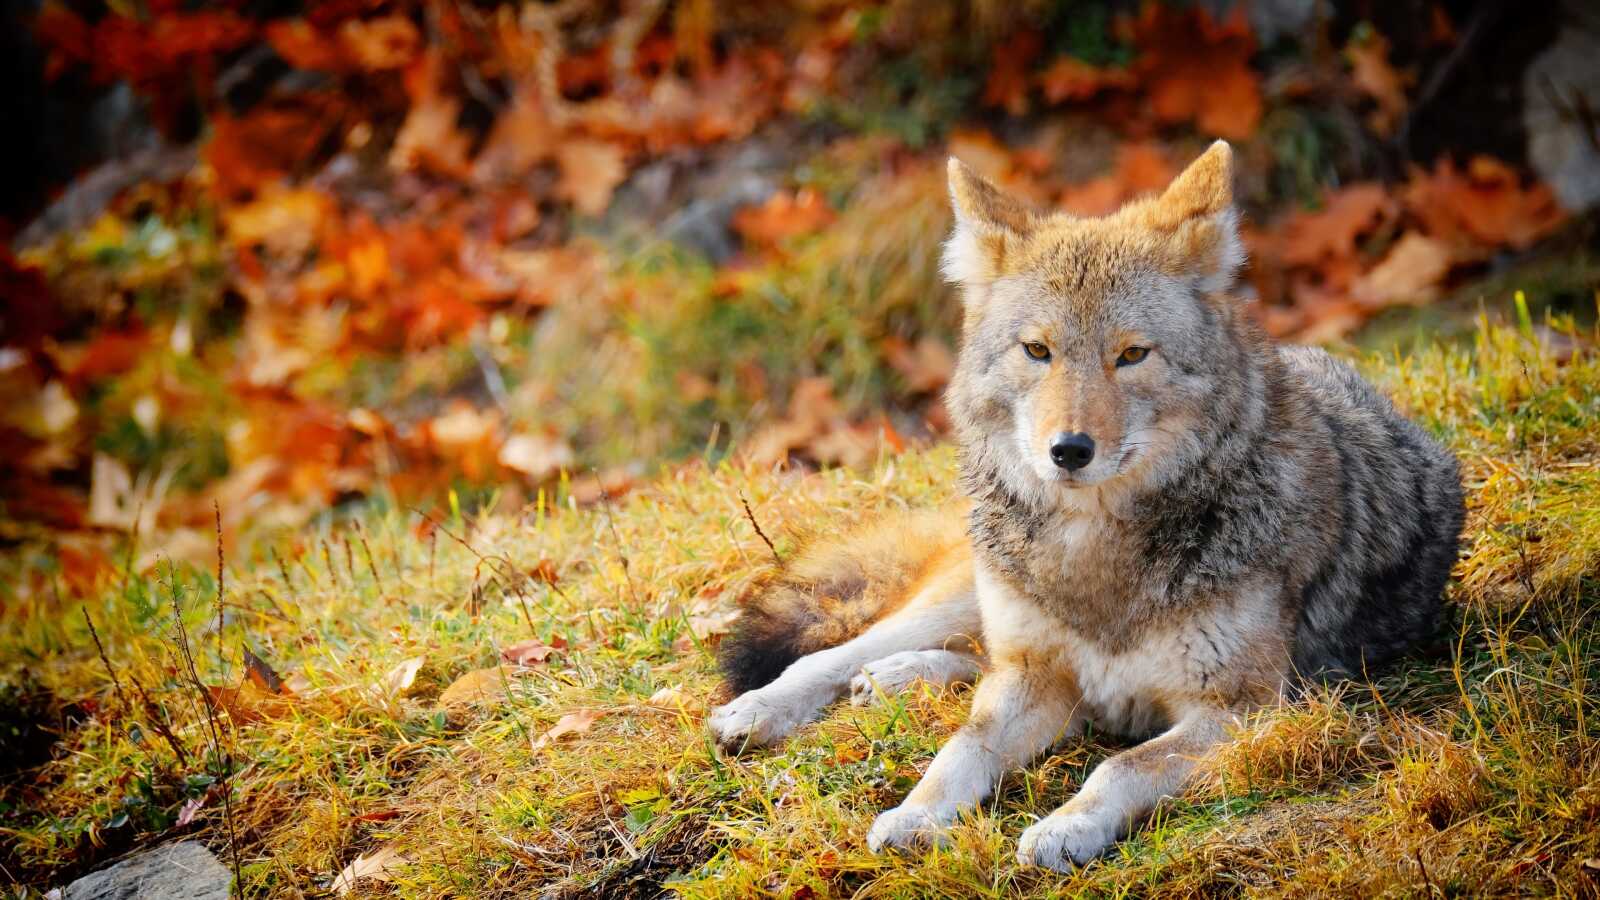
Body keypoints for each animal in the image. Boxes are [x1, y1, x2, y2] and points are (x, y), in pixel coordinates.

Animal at [707, 142, 1465, 870]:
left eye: (1131, 355)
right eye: (1037, 350)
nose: (1068, 450)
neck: (1095, 550)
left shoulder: (1243, 710)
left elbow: (1121, 766)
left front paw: (1063, 829)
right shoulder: (1038, 681)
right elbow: (963, 747)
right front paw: (916, 817)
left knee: (965, 661)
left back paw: (894, 680)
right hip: (966, 596)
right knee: (845, 654)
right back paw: (769, 706)